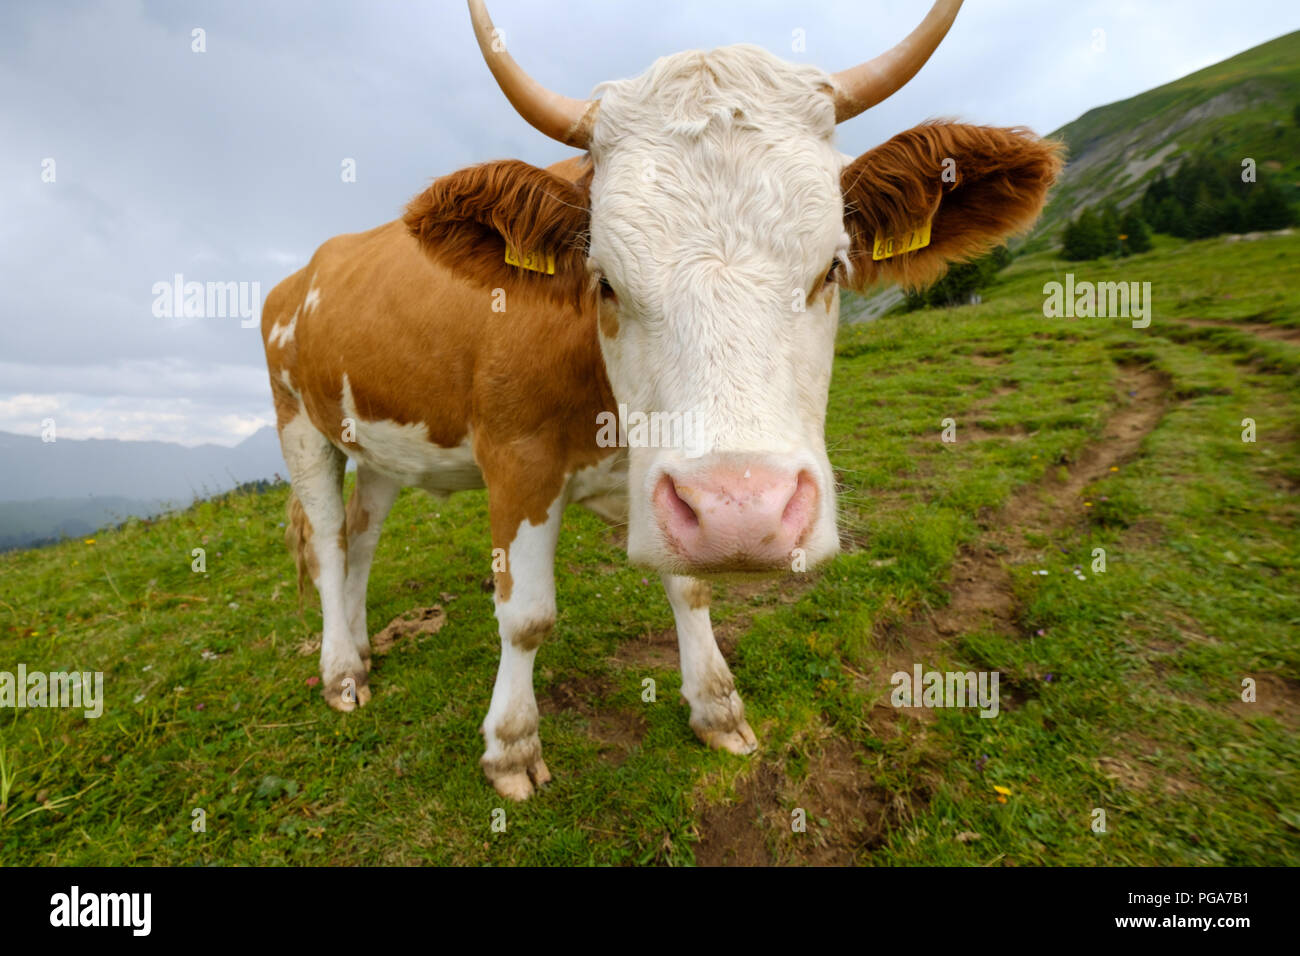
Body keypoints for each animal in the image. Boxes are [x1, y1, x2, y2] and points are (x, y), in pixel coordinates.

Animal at [261, 0, 1062, 800]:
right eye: (604, 281)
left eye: (832, 268)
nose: (746, 512)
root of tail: (307, 268)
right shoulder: (518, 463)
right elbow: (526, 617)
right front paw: (511, 747)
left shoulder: (656, 486)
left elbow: (692, 589)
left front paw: (716, 706)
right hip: (299, 425)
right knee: (330, 542)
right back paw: (340, 670)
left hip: (380, 445)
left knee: (363, 535)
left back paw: (361, 646)